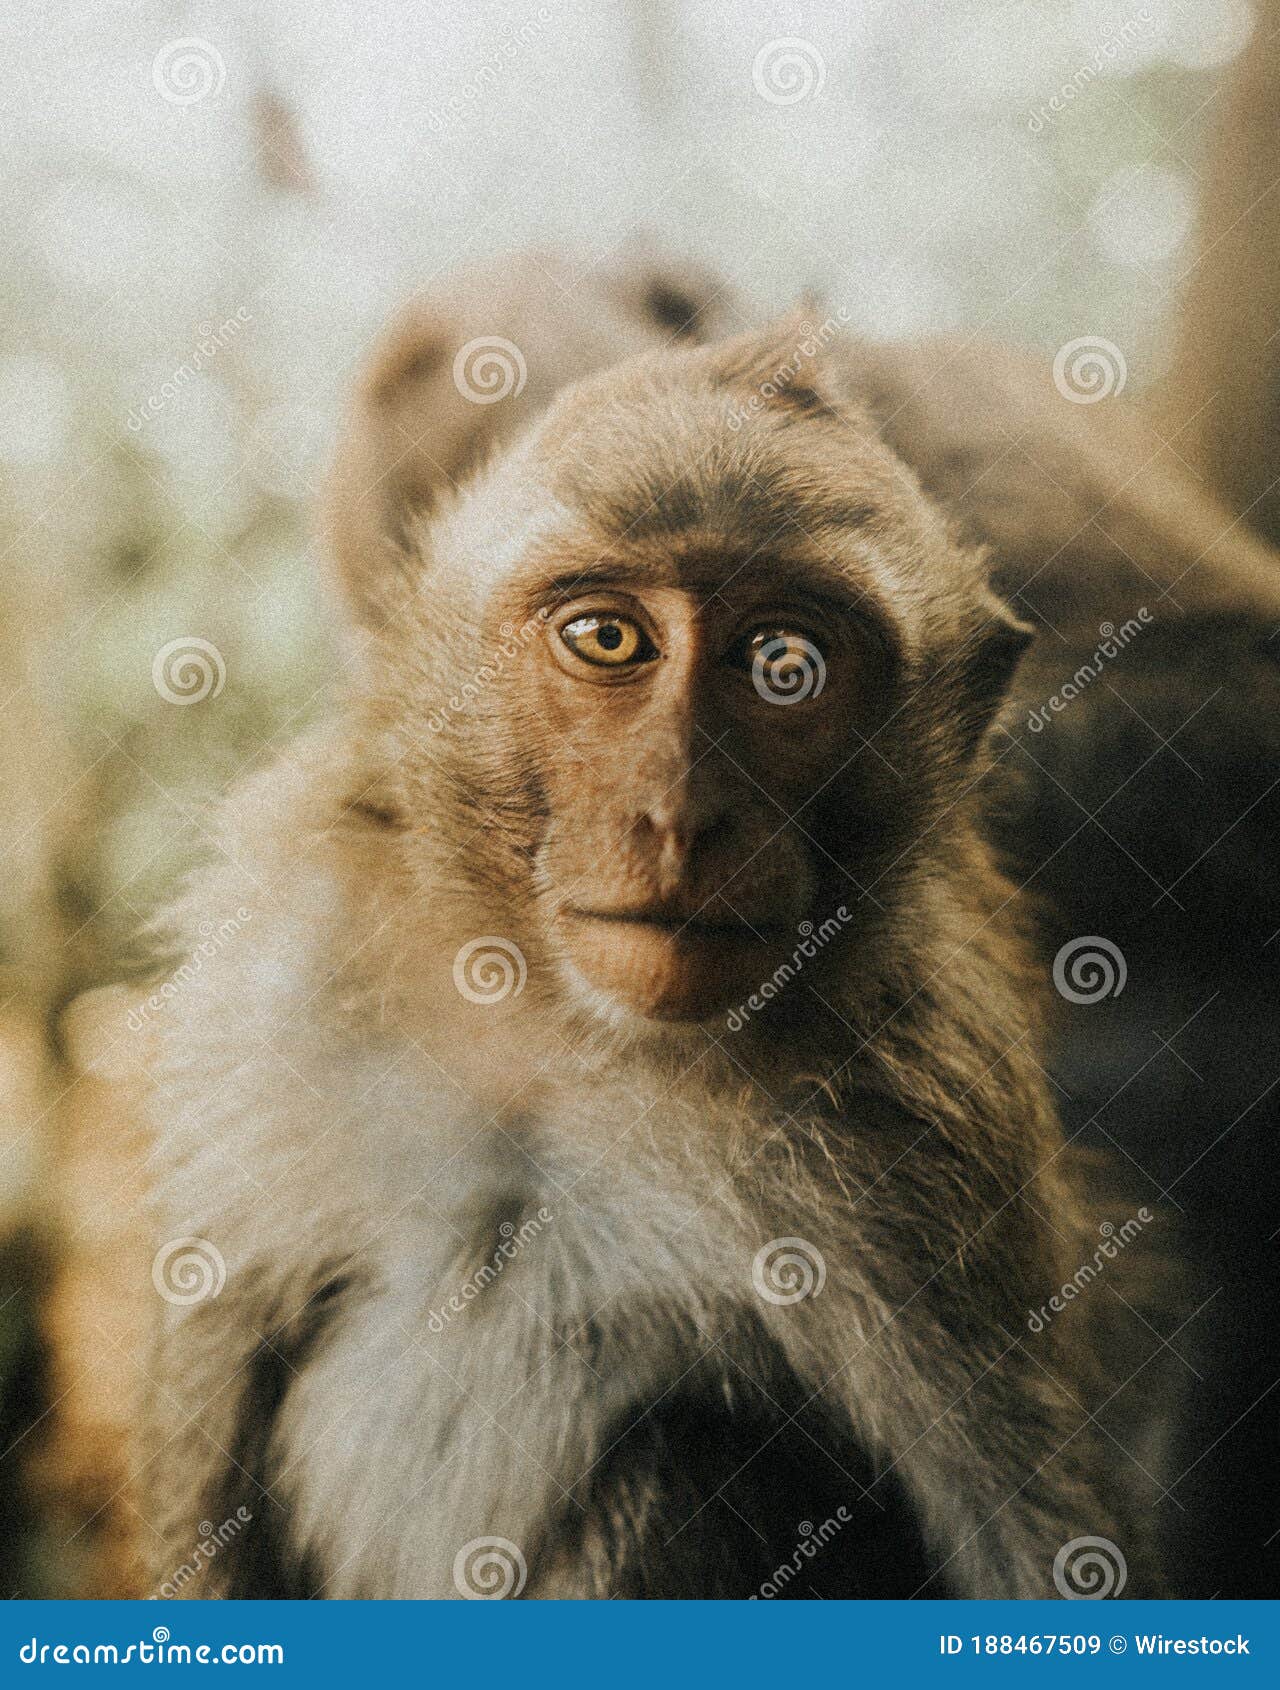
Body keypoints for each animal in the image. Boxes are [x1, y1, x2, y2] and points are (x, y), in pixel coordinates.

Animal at [138, 308, 1166, 1601]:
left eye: (785, 662)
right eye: (606, 637)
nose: (677, 814)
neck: (555, 1022)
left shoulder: (923, 1121)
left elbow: (1039, 1539)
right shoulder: (273, 962)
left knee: (676, 1450)